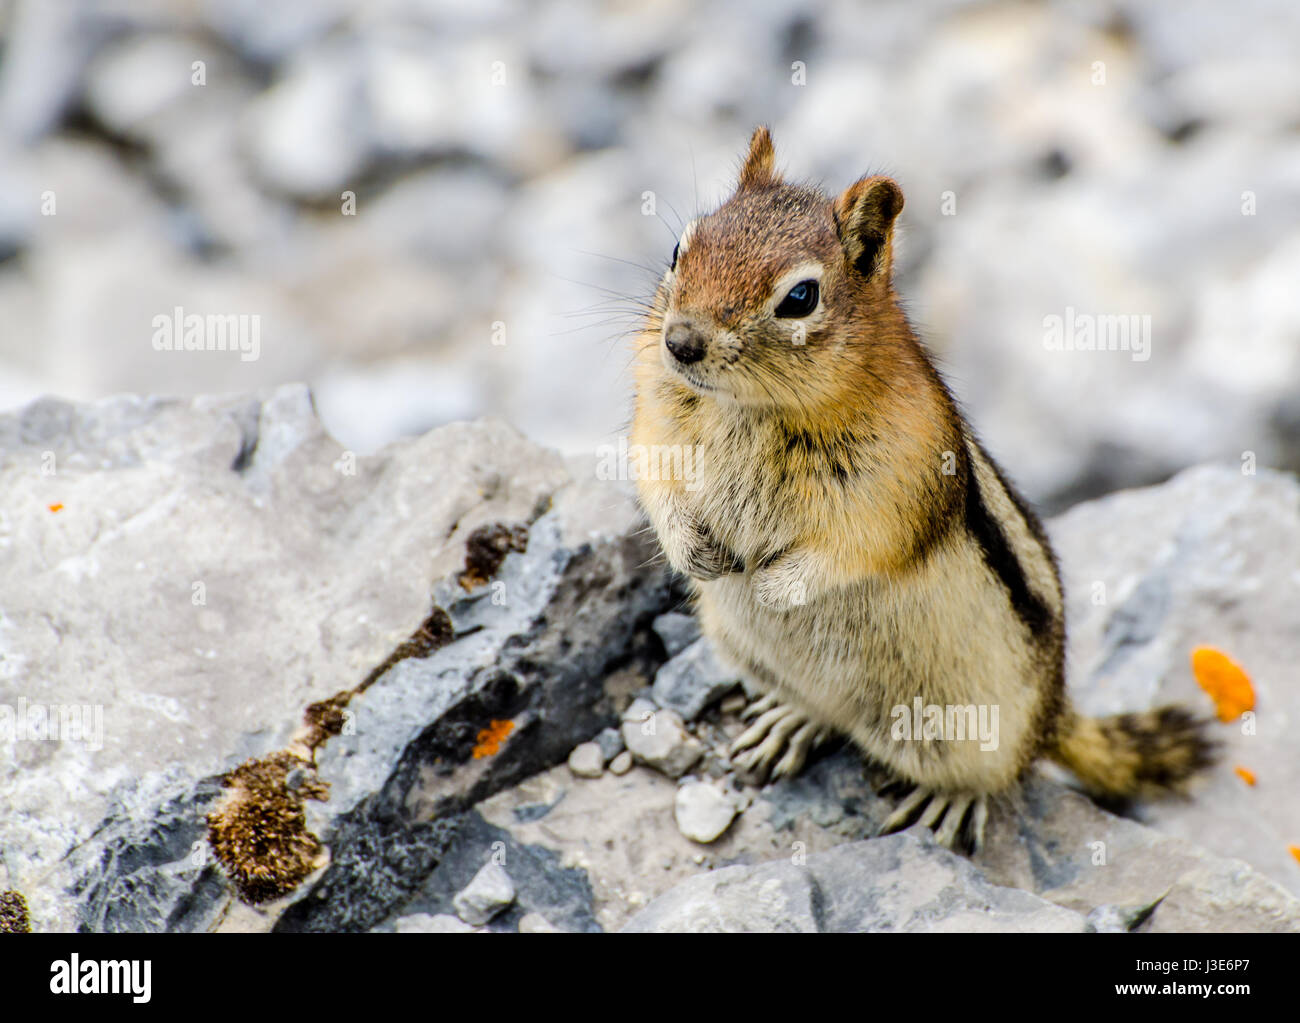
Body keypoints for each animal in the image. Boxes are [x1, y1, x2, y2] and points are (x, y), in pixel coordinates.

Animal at [630, 126, 1215, 851]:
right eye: (679, 249)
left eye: (800, 297)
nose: (680, 342)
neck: (751, 408)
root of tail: (1053, 715)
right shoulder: (654, 427)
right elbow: (655, 485)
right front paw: (696, 552)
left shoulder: (896, 486)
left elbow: (853, 548)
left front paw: (774, 585)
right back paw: (790, 720)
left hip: (967, 729)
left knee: (999, 773)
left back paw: (950, 802)